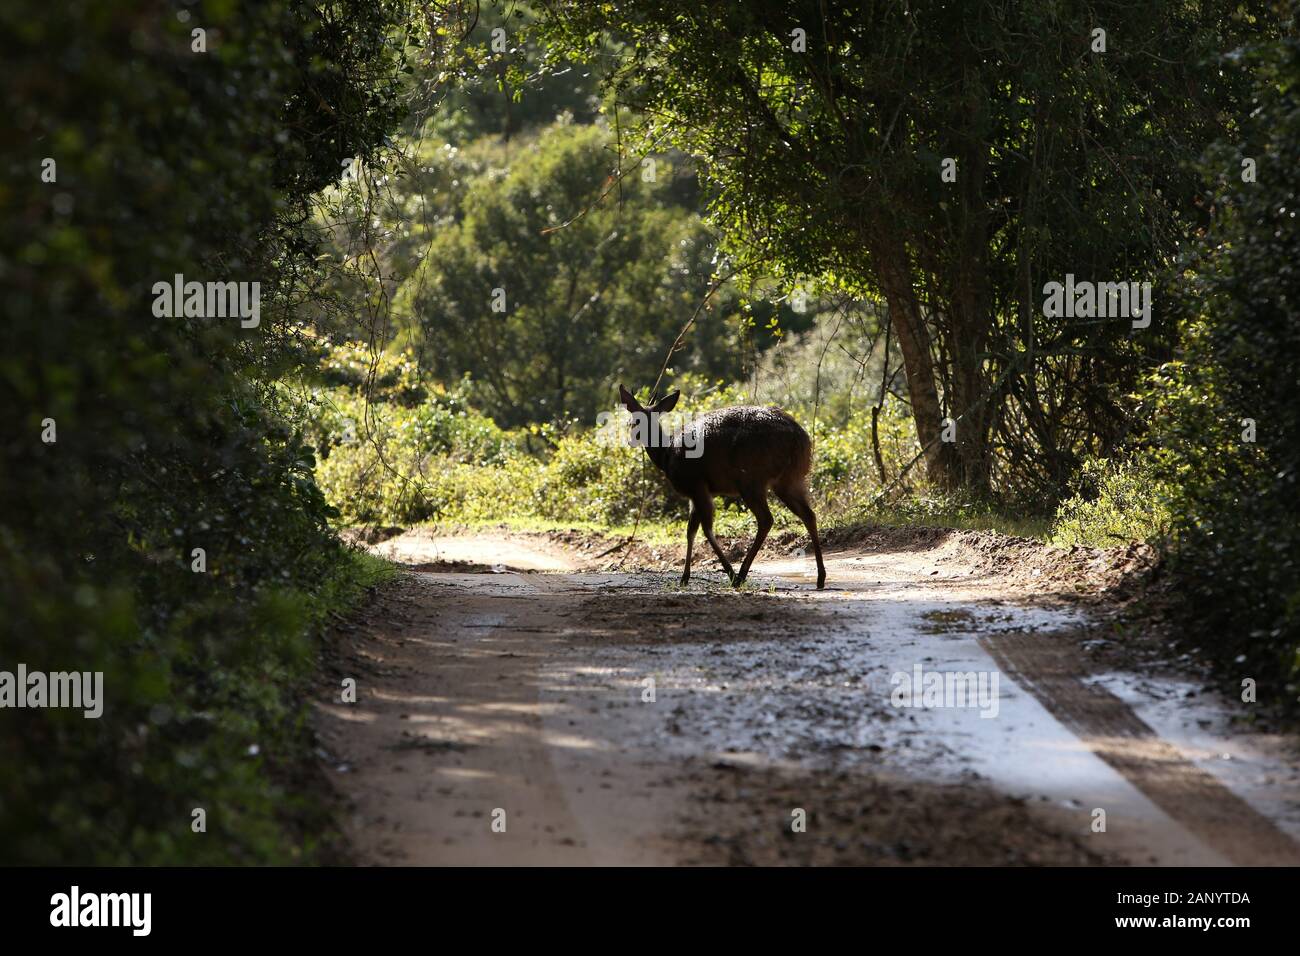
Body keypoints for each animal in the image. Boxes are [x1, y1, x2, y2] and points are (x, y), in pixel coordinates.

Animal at [617, 384, 826, 590]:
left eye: (633, 421)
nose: (632, 439)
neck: (666, 456)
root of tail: (800, 440)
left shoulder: (696, 484)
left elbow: (706, 529)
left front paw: (729, 573)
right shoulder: (697, 493)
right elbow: (690, 531)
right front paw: (685, 577)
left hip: (751, 478)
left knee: (766, 519)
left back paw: (741, 575)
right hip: (790, 479)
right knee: (808, 514)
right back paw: (820, 577)